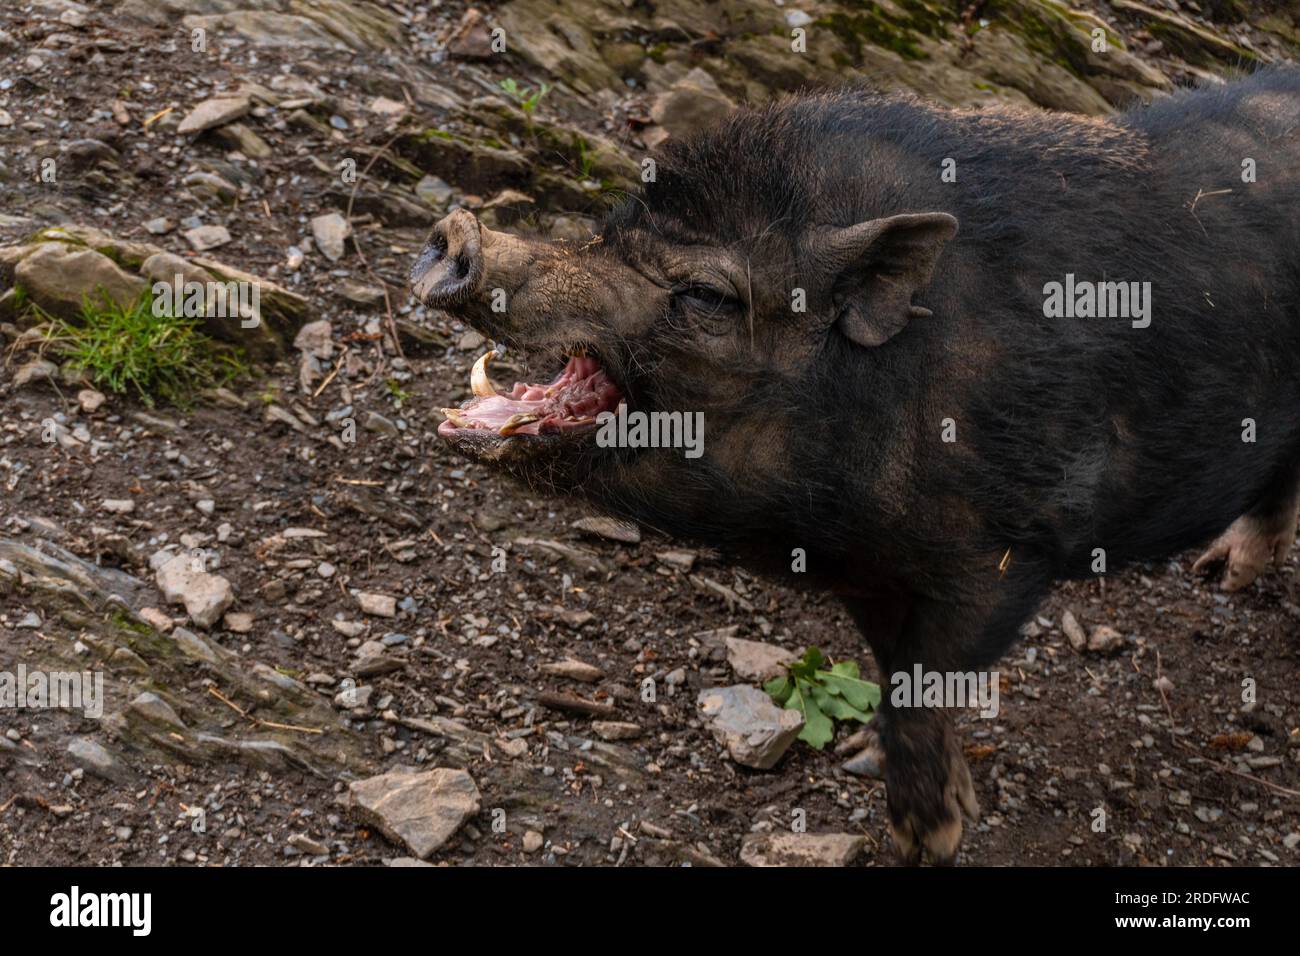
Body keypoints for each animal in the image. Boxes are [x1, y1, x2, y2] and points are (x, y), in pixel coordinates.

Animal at [411, 67, 1300, 863]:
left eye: (705, 294)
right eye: (605, 234)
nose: (460, 234)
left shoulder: (1006, 560)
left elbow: (922, 682)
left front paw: (928, 840)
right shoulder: (871, 575)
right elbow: (887, 666)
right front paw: (879, 769)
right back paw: (1222, 576)